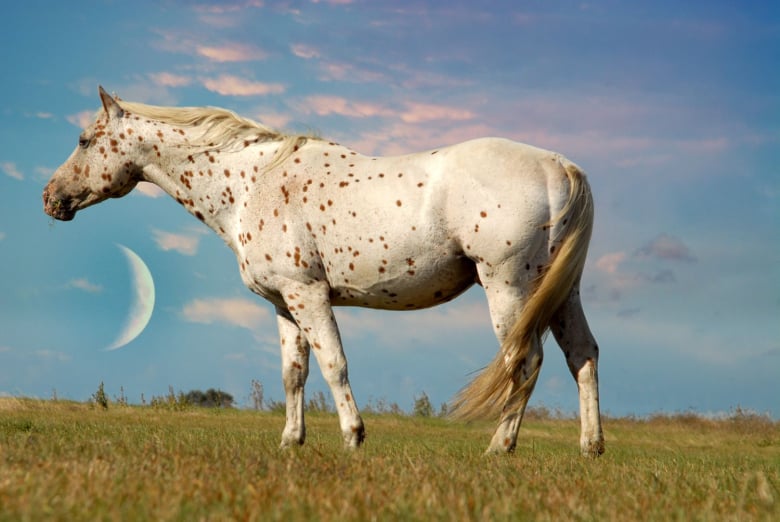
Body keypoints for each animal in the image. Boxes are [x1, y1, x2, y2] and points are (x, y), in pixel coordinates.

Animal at [43, 87, 605, 456]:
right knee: (582, 355)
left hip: (508, 286)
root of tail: (560, 166)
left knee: (525, 361)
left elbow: (334, 364)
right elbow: (294, 374)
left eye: (84, 140)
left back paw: (499, 447)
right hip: (561, 292)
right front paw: (291, 442)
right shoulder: (283, 303)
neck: (251, 183)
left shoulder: (308, 295)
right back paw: (590, 447)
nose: (50, 198)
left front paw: (353, 439)